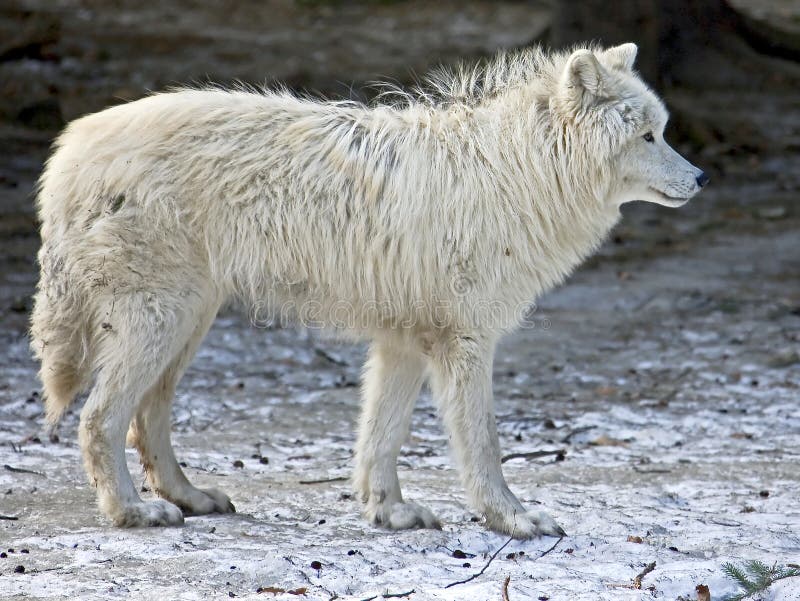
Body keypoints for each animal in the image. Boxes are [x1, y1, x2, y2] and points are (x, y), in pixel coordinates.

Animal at [30, 43, 706, 536]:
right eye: (648, 137)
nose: (701, 178)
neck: (516, 174)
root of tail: (67, 149)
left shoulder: (404, 343)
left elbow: (381, 438)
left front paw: (390, 512)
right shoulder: (465, 343)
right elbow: (483, 445)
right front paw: (512, 519)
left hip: (188, 324)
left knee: (147, 418)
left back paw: (189, 496)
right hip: (161, 322)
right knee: (99, 419)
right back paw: (132, 512)